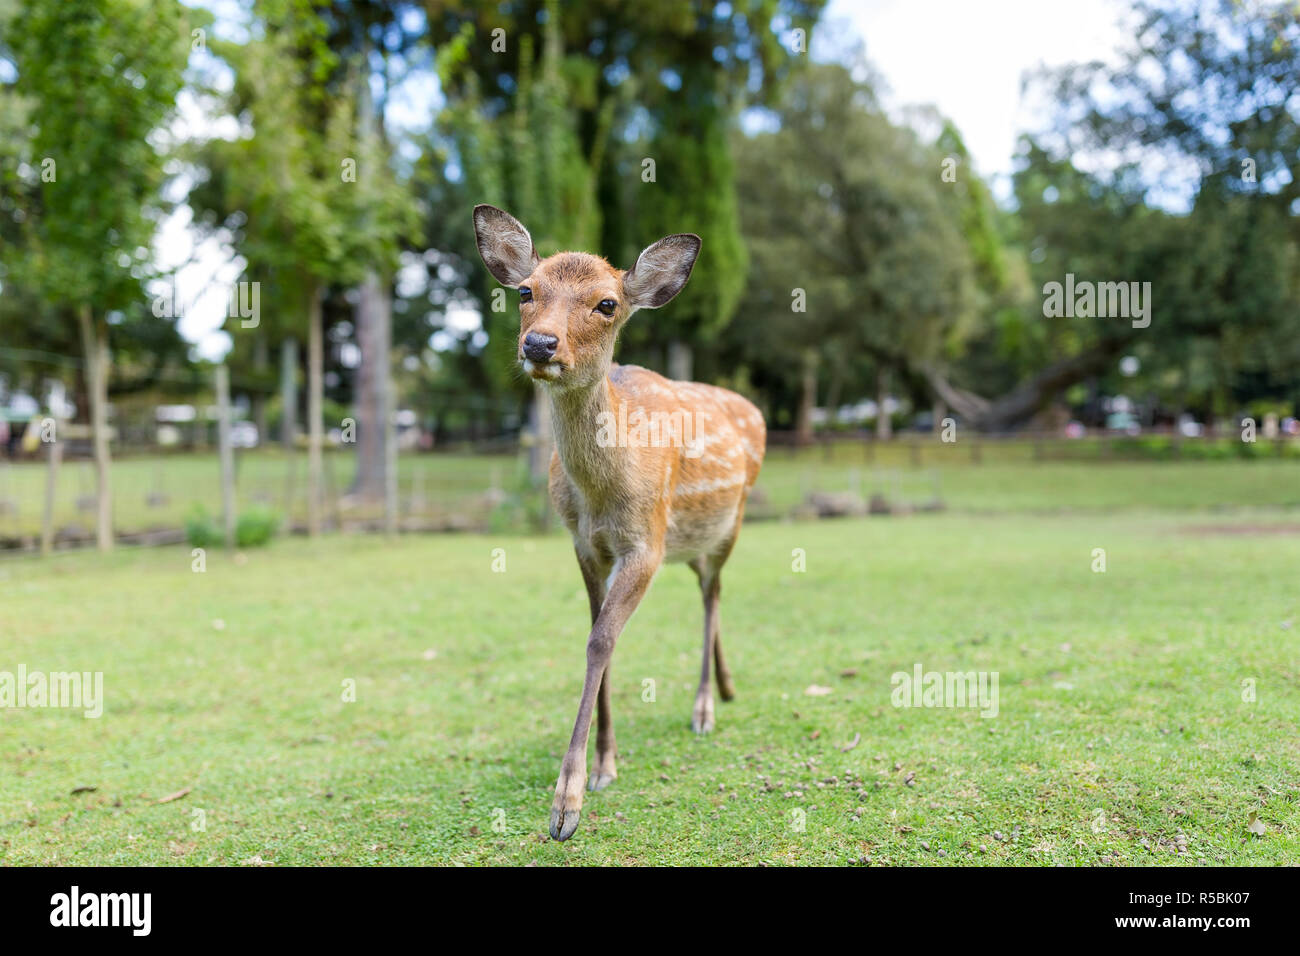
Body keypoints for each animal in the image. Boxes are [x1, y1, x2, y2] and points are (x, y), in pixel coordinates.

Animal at [473, 205, 767, 841]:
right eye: (526, 291)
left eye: (607, 303)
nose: (539, 343)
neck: (600, 495)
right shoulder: (584, 544)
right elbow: (595, 635)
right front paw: (606, 763)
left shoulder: (644, 543)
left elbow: (602, 639)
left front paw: (566, 805)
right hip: (690, 539)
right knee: (708, 590)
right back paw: (728, 686)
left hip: (731, 520)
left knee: (714, 593)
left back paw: (705, 707)